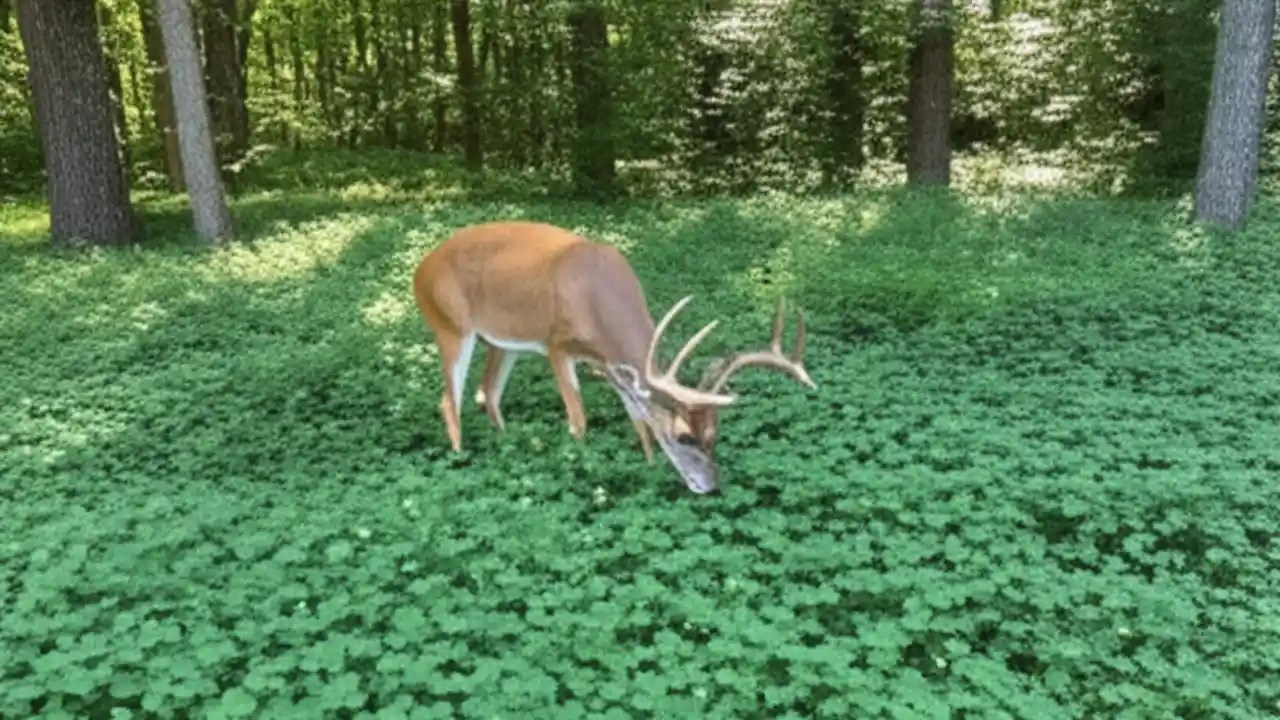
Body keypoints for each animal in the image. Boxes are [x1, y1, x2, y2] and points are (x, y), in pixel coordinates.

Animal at [411, 220, 815, 494]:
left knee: (490, 392)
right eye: (684, 437)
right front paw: (583, 467)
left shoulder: (610, 363)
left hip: (504, 343)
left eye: (714, 435)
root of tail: (420, 269)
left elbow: (638, 418)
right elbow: (579, 420)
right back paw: (461, 460)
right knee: (449, 400)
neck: (597, 297)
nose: (711, 486)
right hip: (450, 325)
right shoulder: (557, 345)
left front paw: (648, 466)